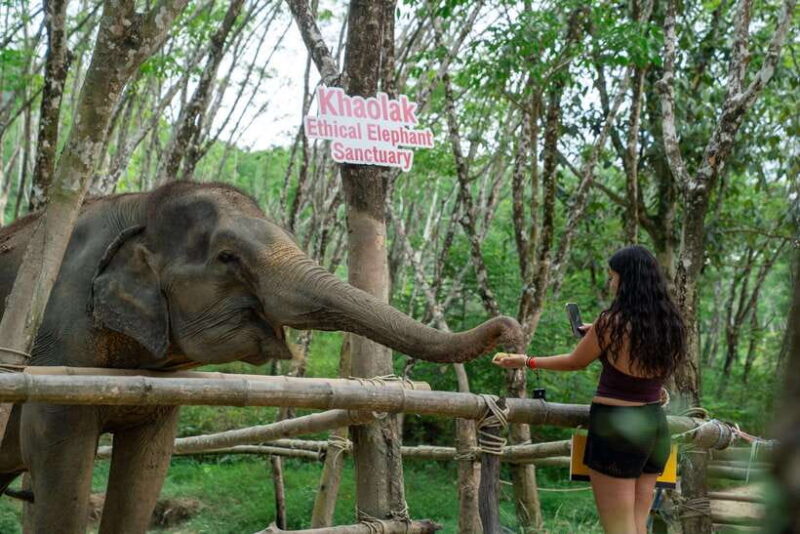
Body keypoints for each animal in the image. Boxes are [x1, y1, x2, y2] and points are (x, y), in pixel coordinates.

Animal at [0, 181, 522, 533]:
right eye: (228, 257)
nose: (510, 332)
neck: (141, 203)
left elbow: (148, 465)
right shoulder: (56, 349)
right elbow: (58, 456)